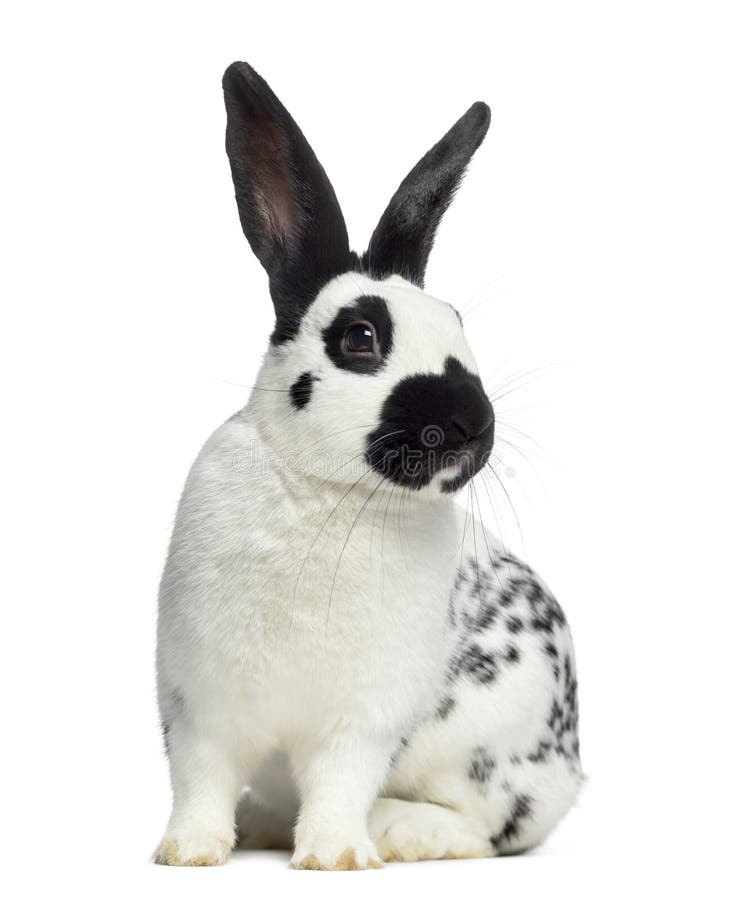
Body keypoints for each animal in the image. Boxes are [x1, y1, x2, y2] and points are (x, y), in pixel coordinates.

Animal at [155, 60, 582, 870]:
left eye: (458, 325)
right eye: (359, 337)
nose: (472, 425)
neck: (324, 491)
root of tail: (570, 768)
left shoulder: (360, 720)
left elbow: (340, 783)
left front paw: (334, 857)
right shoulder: (199, 704)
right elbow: (200, 781)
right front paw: (189, 853)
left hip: (486, 751)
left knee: (489, 827)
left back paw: (400, 830)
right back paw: (262, 824)